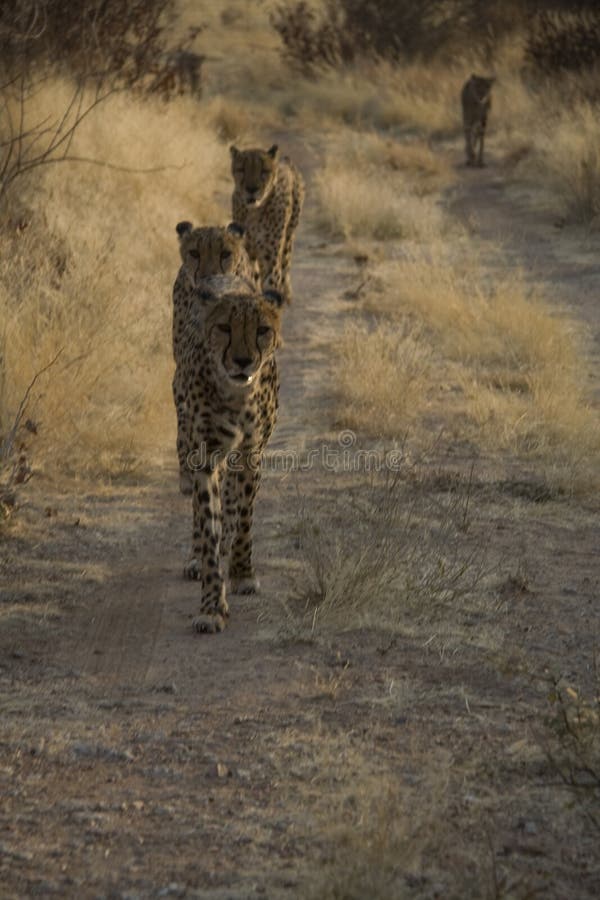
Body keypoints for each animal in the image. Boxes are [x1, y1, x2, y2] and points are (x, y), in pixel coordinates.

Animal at [175, 274, 283, 634]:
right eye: (224, 327)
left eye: (262, 329)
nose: (242, 361)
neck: (235, 394)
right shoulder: (205, 457)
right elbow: (208, 524)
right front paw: (211, 606)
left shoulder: (250, 453)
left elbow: (245, 516)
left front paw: (242, 573)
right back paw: (196, 557)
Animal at [230, 144, 304, 304]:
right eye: (241, 169)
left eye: (264, 170)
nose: (252, 189)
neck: (254, 211)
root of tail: (284, 159)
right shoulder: (247, 250)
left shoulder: (270, 255)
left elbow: (270, 282)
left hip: (289, 236)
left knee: (285, 264)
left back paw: (286, 293)